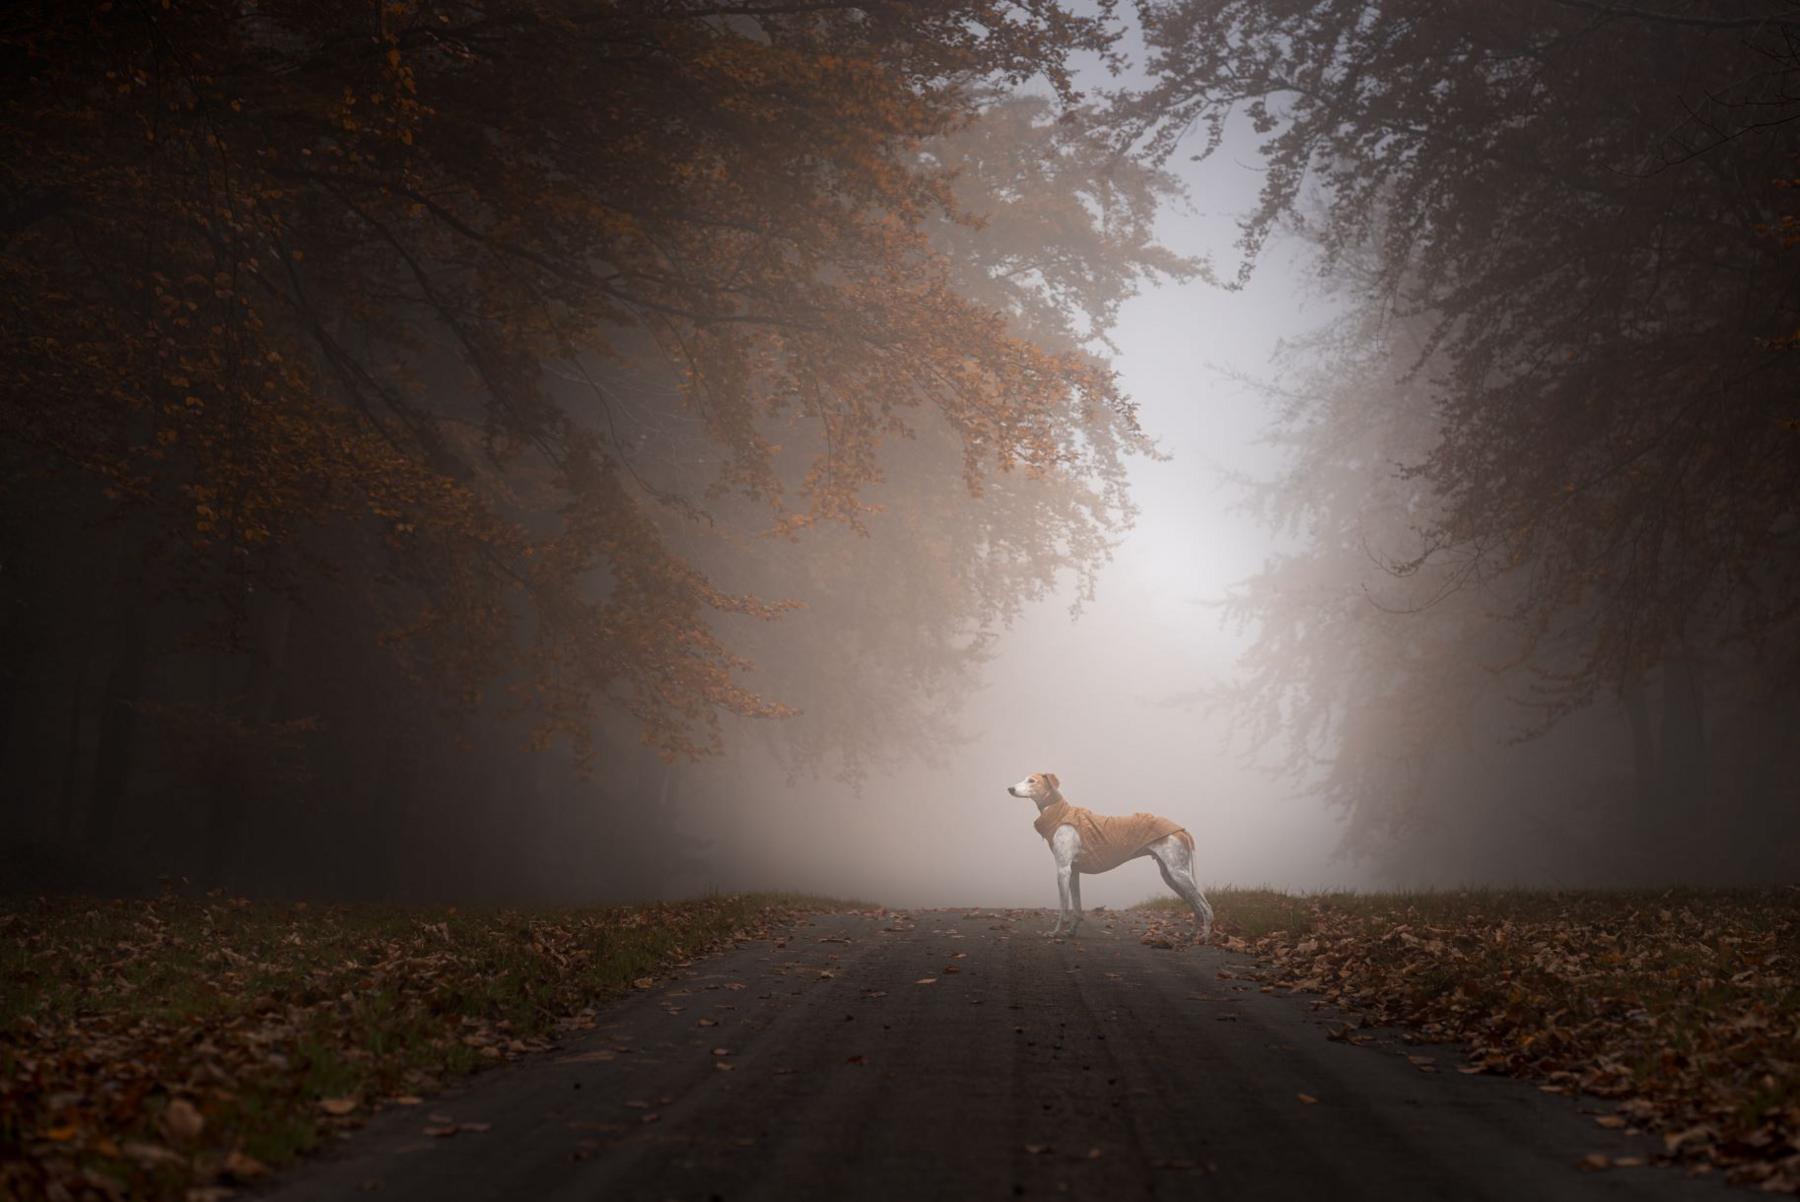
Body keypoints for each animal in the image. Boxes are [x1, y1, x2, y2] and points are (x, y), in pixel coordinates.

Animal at [1008, 773, 1216, 942]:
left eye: (1032, 780)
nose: (1010, 789)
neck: (1059, 813)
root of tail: (1182, 830)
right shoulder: (1074, 871)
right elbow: (1077, 907)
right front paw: (1072, 932)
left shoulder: (1063, 869)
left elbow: (1064, 907)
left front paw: (1055, 933)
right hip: (1171, 876)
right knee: (1196, 907)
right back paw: (1192, 934)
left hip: (1178, 873)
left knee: (1206, 908)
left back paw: (1204, 937)